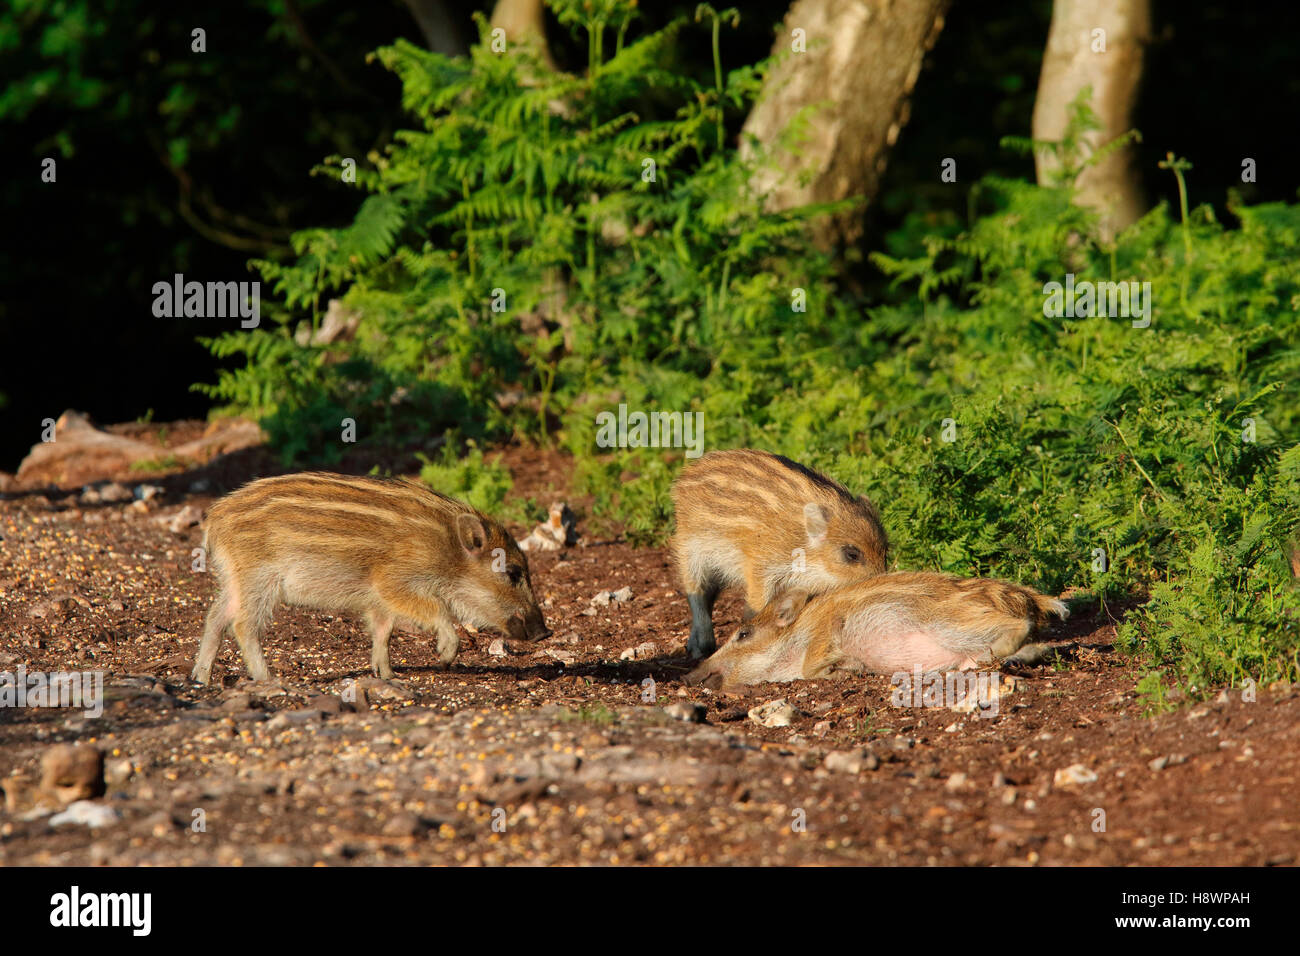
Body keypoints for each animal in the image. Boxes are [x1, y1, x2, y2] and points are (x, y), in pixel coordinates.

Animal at [190, 472, 549, 685]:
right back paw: (270, 680)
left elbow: (383, 631)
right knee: (242, 625)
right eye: (512, 572)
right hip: (258, 578)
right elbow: (437, 611)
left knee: (215, 617)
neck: (447, 552)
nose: (545, 633)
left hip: (236, 578)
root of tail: (214, 520)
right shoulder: (391, 583)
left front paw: (388, 675)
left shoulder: (378, 599)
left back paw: (201, 678)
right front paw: (444, 657)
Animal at [670, 449, 889, 658]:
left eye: (885, 551)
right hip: (690, 551)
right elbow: (756, 608)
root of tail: (688, 473)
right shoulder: (761, 568)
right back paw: (701, 648)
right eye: (852, 554)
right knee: (697, 593)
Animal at [685, 572, 1067, 690]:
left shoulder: (825, 630)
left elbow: (813, 664)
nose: (689, 676)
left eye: (743, 635)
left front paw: (845, 671)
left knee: (1017, 627)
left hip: (949, 623)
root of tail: (1028, 598)